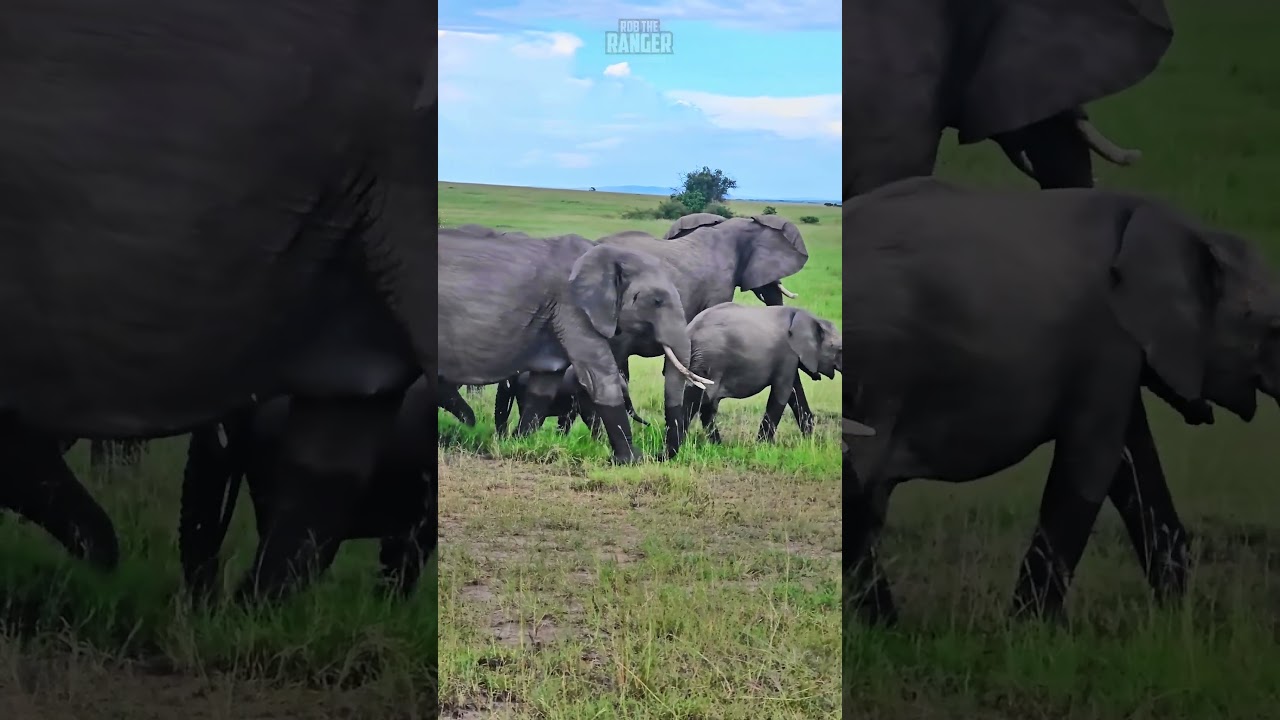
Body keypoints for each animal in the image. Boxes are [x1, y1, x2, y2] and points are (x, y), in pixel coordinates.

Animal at [438, 231, 709, 464]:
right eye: (657, 301)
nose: (659, 454)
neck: (607, 255)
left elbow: (544, 385)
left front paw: (518, 443)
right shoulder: (573, 306)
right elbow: (599, 376)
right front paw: (630, 460)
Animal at [673, 303, 840, 453]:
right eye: (839, 349)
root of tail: (690, 330)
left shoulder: (792, 359)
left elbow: (795, 392)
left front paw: (812, 443)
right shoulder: (788, 354)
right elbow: (782, 393)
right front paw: (763, 447)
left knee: (706, 402)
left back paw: (717, 446)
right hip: (710, 361)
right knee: (700, 397)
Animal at [843, 176, 1280, 625]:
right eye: (1274, 329)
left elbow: (1133, 463)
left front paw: (1179, 619)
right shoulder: (1107, 339)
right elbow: (1092, 465)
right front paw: (1030, 631)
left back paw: (885, 628)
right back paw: (886, 627)